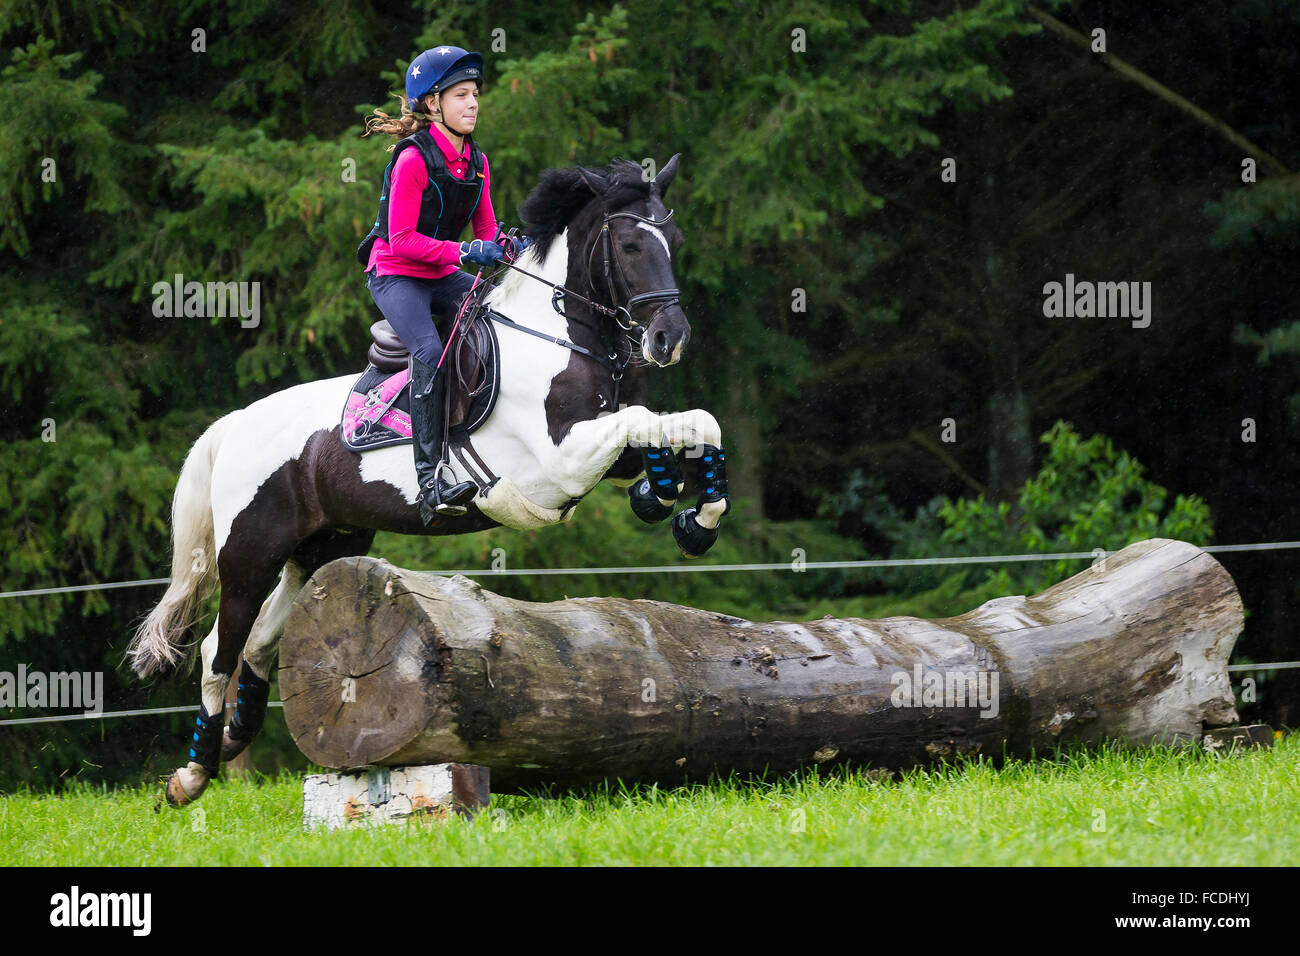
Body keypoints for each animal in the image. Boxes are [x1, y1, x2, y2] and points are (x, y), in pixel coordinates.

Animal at [125, 154, 731, 806]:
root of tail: (234, 425)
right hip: (250, 552)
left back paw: (237, 735)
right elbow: (644, 421)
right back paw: (193, 772)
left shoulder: (605, 452)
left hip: (322, 546)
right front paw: (672, 501)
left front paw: (686, 513)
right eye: (628, 245)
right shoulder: (557, 462)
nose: (670, 339)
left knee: (262, 637)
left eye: (675, 241)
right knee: (221, 647)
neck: (563, 337)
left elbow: (689, 425)